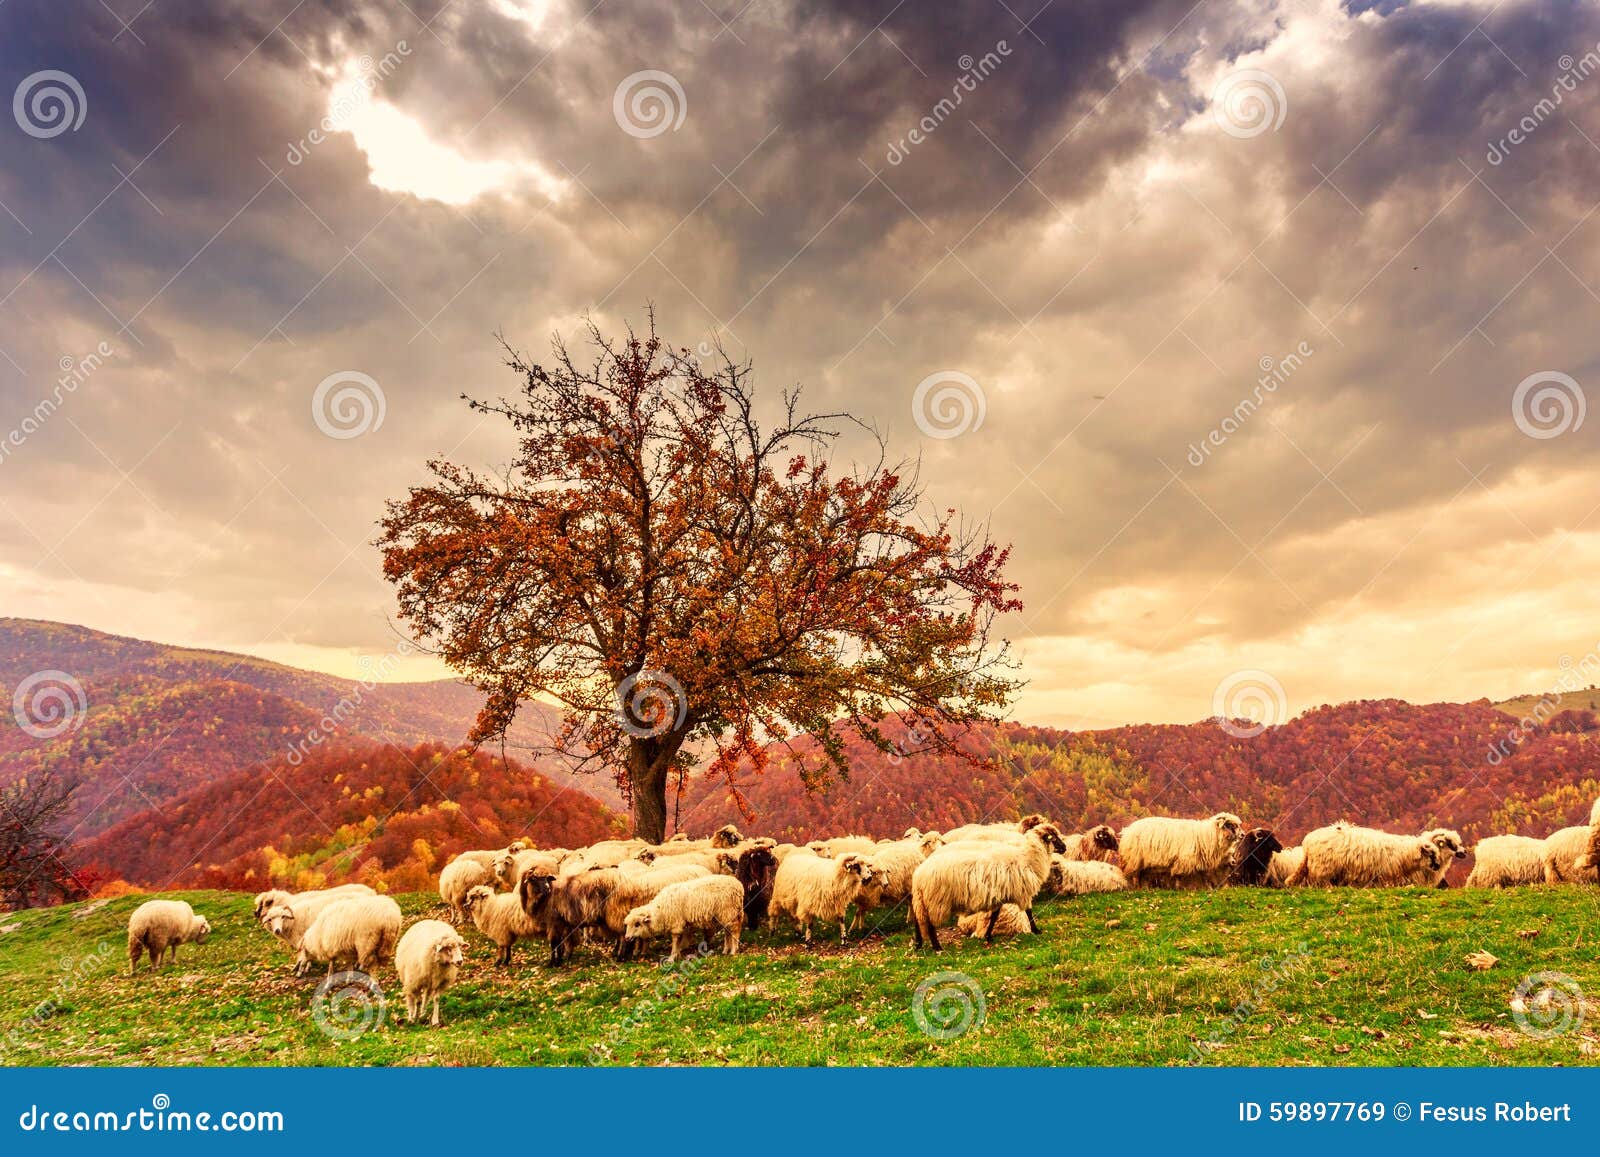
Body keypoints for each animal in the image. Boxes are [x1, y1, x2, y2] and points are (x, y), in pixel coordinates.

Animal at [910, 821, 1067, 950]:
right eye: (1054, 838)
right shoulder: (1023, 892)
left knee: (918, 919)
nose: (1065, 848)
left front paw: (988, 936)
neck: (1029, 857)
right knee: (929, 924)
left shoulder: (1001, 895)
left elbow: (994, 916)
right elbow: (1029, 912)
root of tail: (918, 875)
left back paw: (919, 944)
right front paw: (1036, 930)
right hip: (935, 901)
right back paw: (937, 947)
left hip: (923, 900)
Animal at [1289, 822, 1449, 888]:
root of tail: (1307, 842)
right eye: (1431, 854)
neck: (1404, 853)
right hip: (1322, 869)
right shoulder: (1384, 875)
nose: (1437, 866)